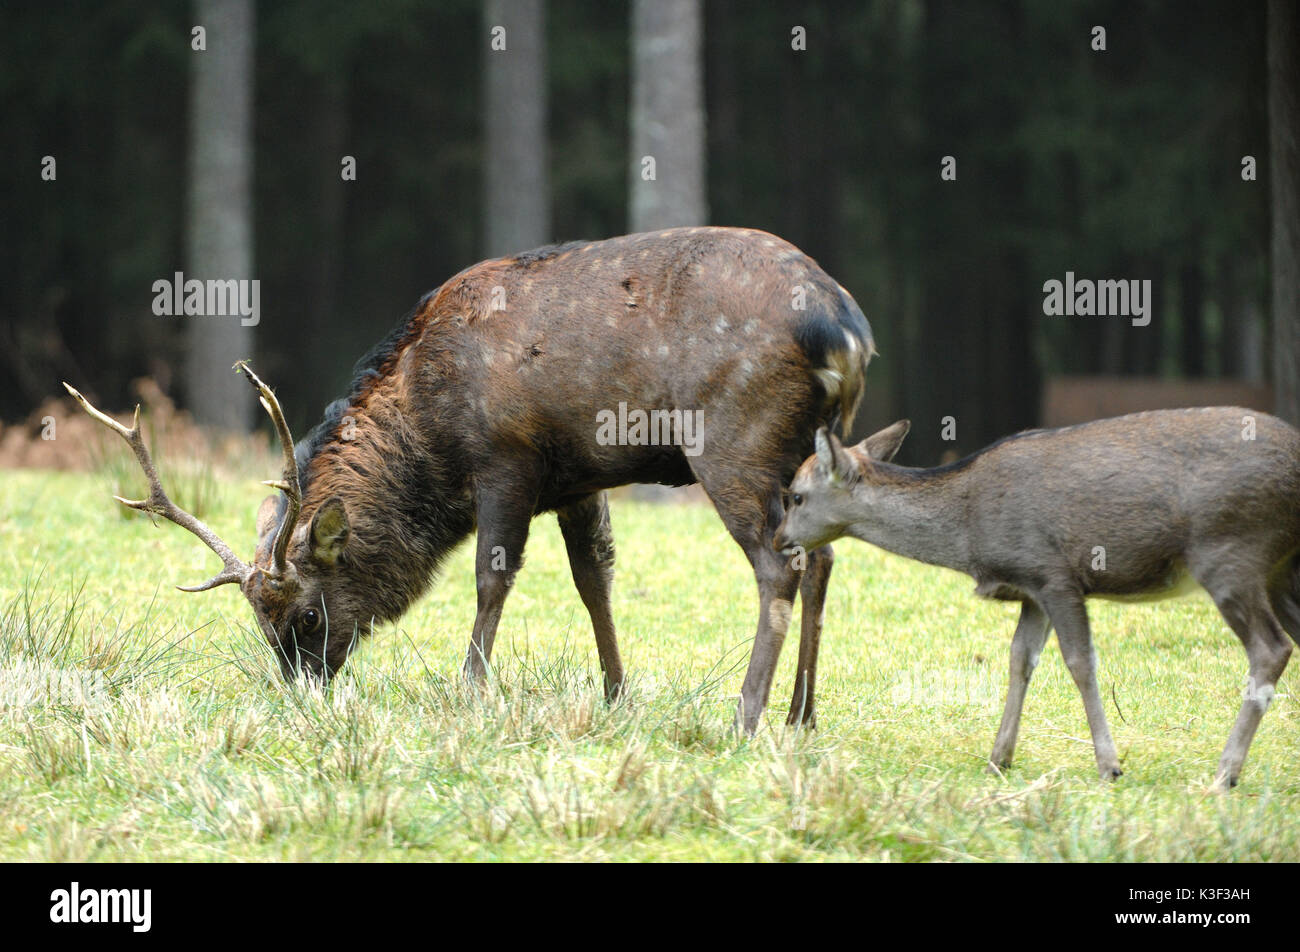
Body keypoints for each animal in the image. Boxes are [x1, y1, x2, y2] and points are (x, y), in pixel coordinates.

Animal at [66, 226, 876, 733]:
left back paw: (748, 714)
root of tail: (843, 329)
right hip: (813, 450)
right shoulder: (578, 479)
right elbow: (594, 579)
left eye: (305, 617)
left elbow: (493, 576)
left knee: (779, 562)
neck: (429, 430)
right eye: (263, 629)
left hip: (734, 437)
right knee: (824, 558)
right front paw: (617, 696)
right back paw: (803, 715)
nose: (303, 692)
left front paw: (470, 690)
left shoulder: (506, 458)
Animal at [773, 409, 1300, 788]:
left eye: (795, 495)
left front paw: (1110, 765)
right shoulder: (1030, 588)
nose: (778, 539)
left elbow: (1080, 662)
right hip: (1278, 569)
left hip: (1230, 552)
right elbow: (1019, 659)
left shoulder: (1054, 574)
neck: (970, 532)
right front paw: (997, 759)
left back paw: (1224, 773)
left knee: (1271, 648)